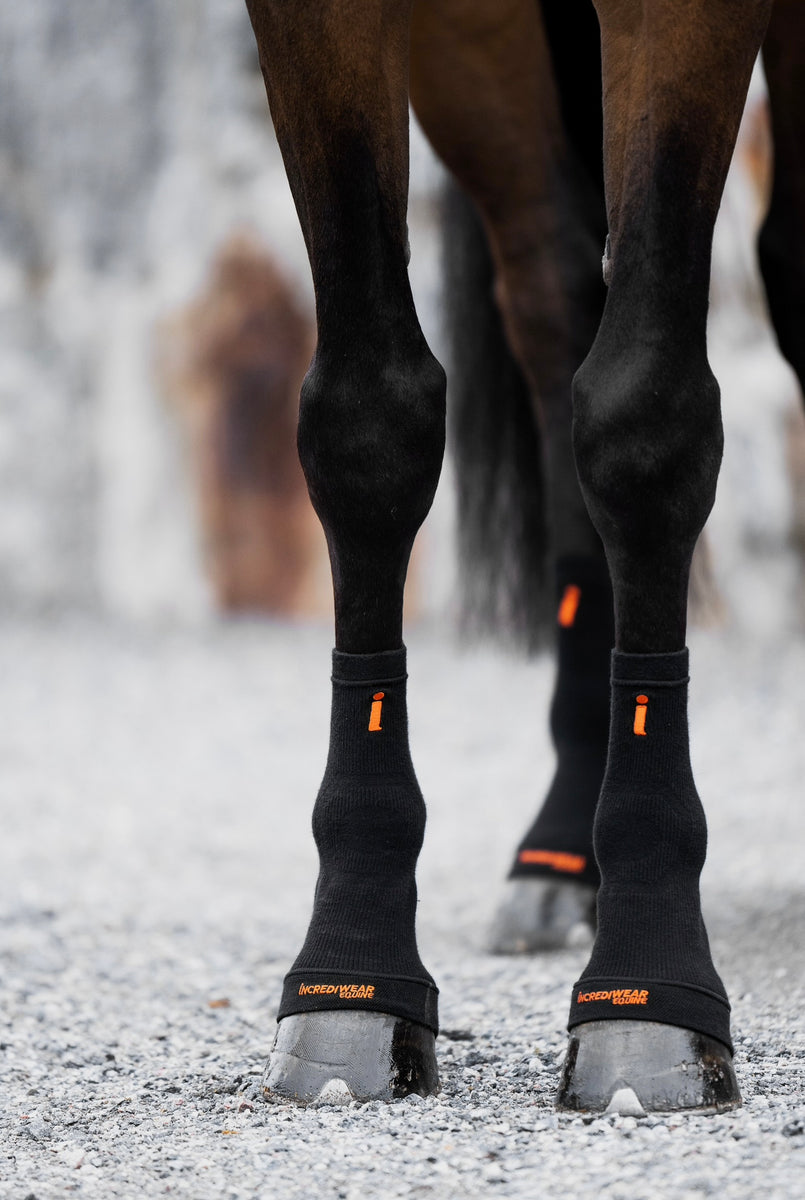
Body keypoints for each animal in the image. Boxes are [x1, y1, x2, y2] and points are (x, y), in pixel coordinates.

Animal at [242, 0, 804, 1113]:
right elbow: (367, 412)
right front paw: (349, 980)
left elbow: (644, 413)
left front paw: (647, 995)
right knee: (555, 299)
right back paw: (557, 854)